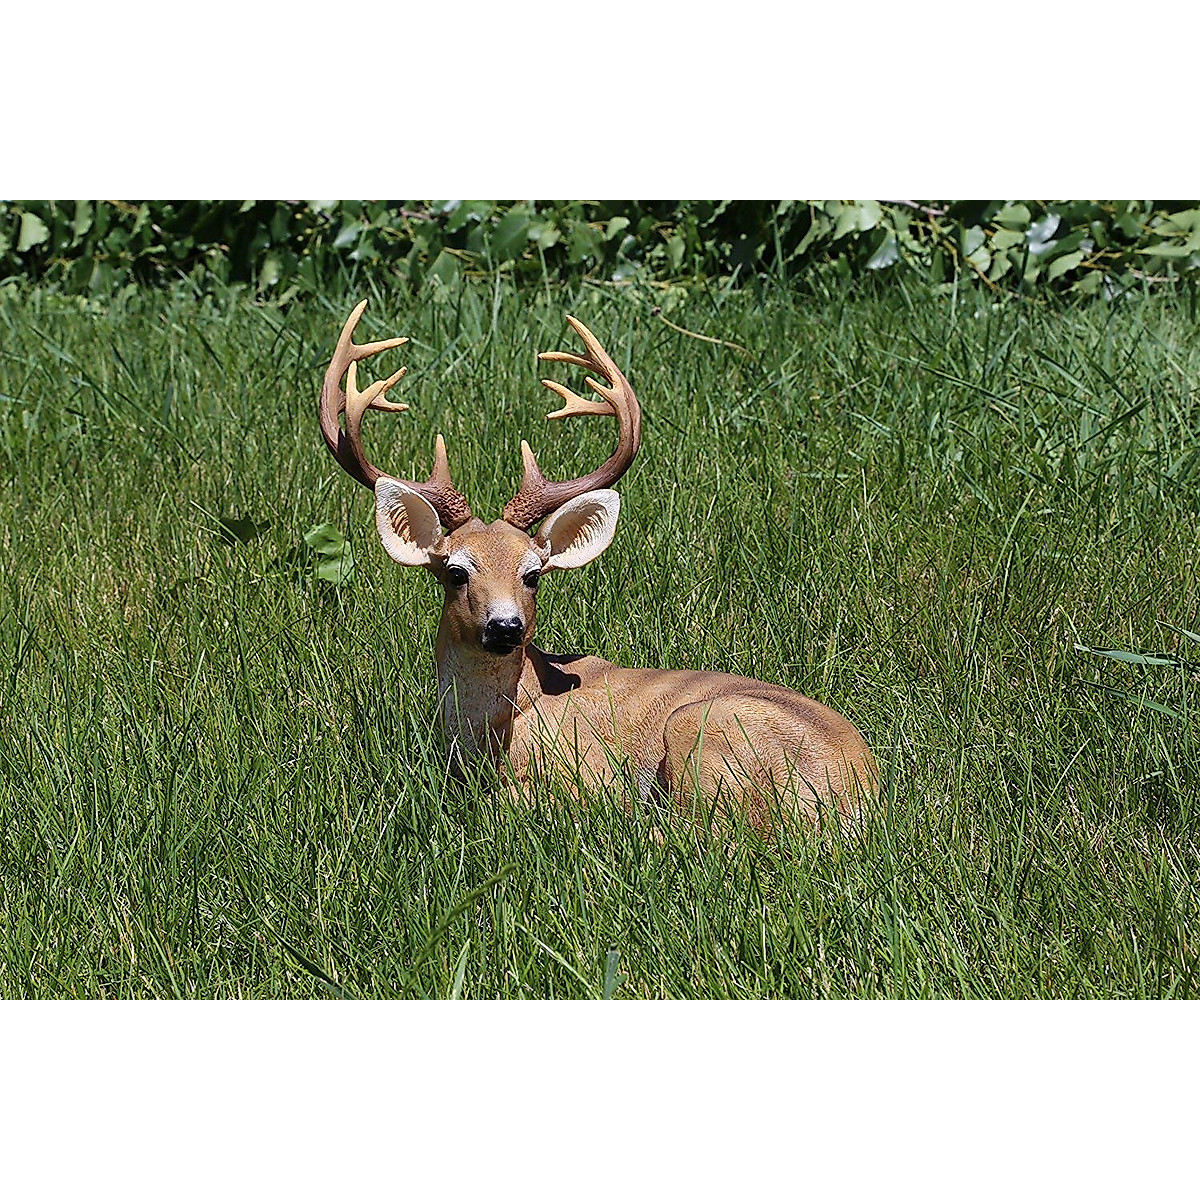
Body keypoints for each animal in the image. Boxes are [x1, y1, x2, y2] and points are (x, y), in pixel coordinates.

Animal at [318, 300, 876, 832]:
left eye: (532, 574)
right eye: (456, 571)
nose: (506, 626)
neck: (490, 731)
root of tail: (857, 795)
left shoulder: (583, 774)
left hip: (704, 731)